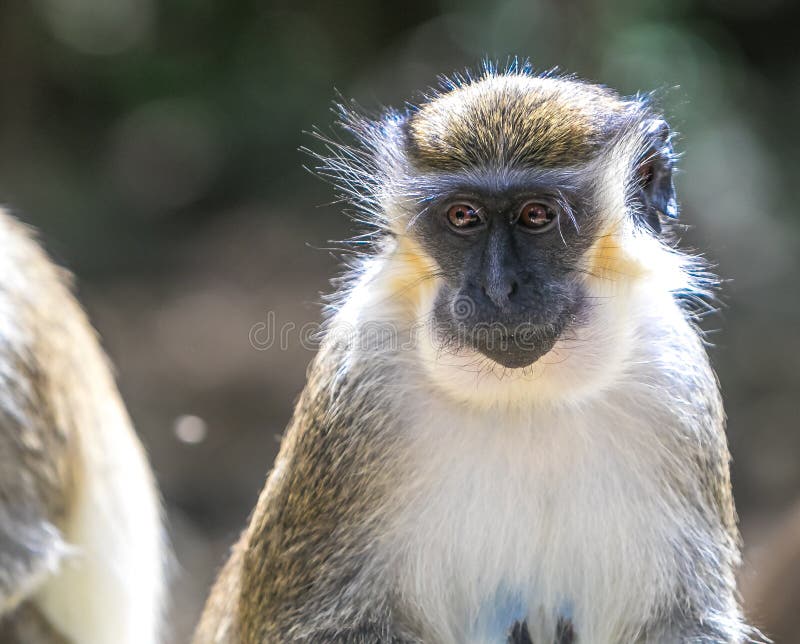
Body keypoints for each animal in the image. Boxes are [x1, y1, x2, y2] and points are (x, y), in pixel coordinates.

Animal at [194, 64, 756, 643]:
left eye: (537, 215)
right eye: (463, 216)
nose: (497, 288)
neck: (526, 395)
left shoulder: (674, 381)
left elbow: (684, 621)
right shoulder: (358, 378)